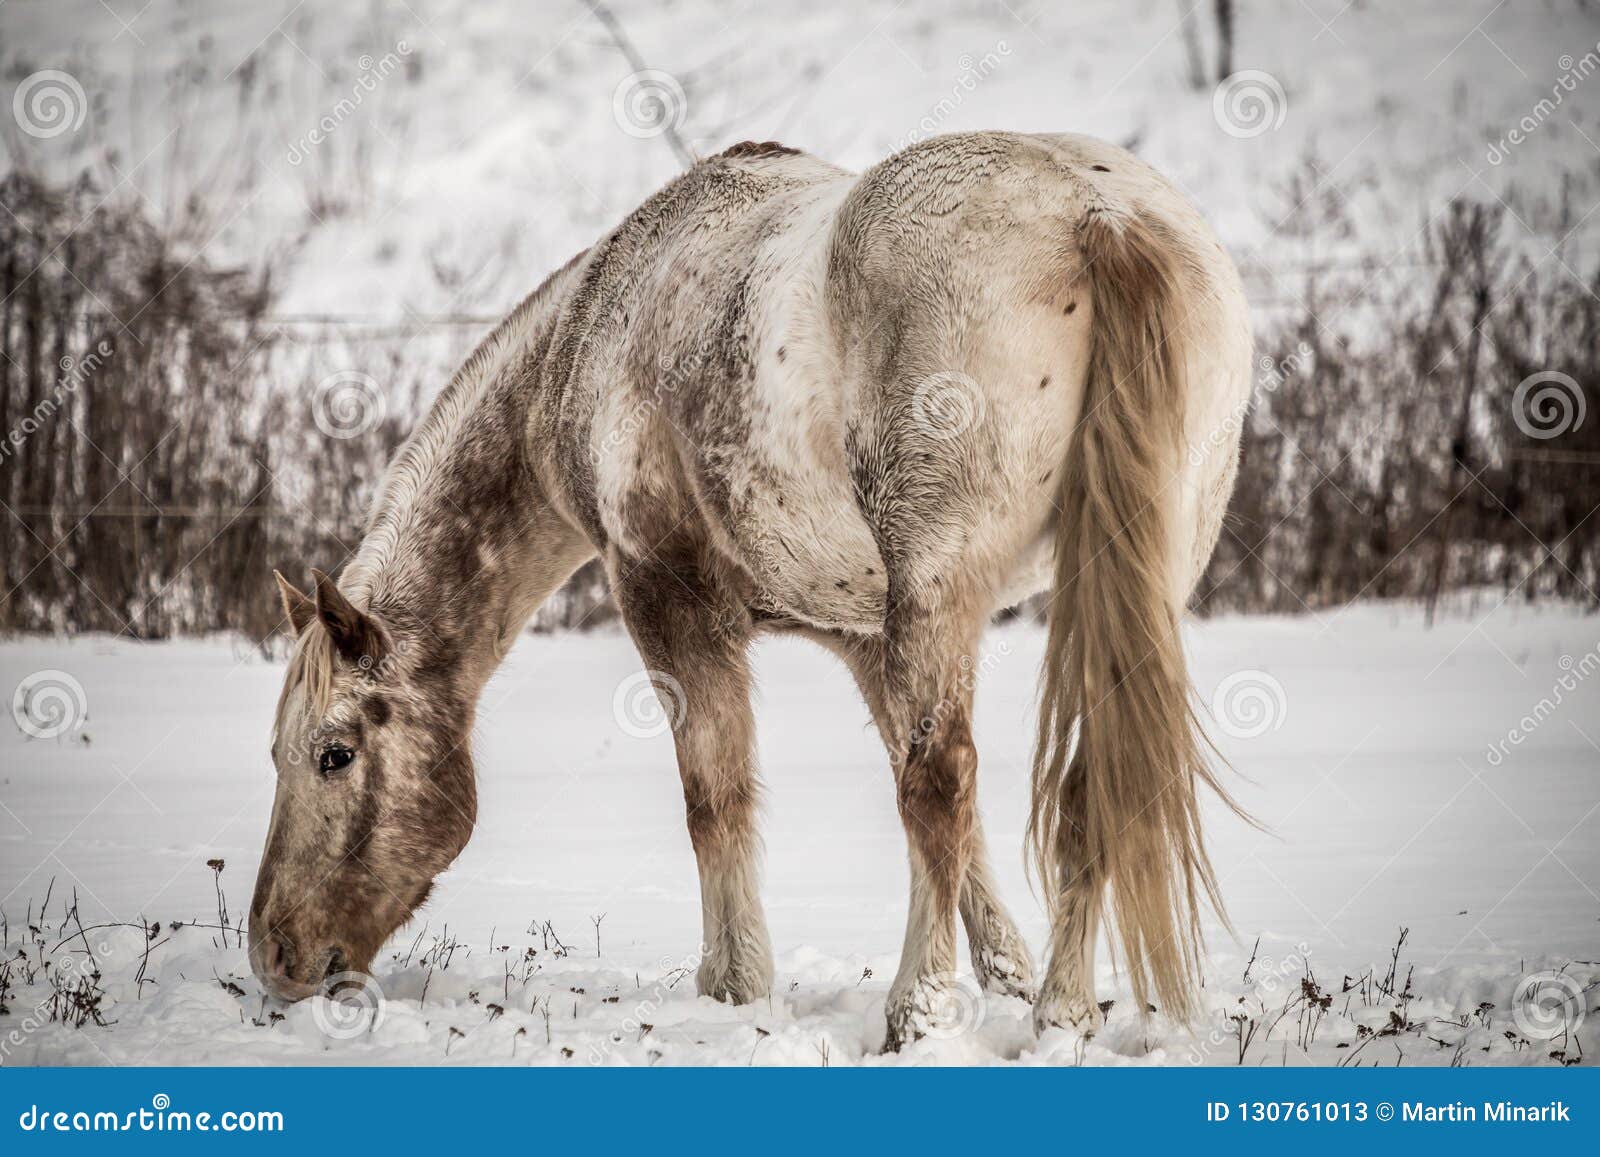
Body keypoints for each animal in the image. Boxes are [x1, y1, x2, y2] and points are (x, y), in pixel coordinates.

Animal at [248, 130, 1252, 1049]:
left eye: (334, 753)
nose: (275, 956)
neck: (595, 334)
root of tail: (1100, 217)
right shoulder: (865, 637)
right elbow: (946, 827)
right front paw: (1004, 974)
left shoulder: (671, 602)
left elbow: (717, 798)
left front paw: (732, 987)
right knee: (1079, 785)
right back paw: (1059, 1014)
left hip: (942, 587)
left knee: (941, 782)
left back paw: (916, 1014)